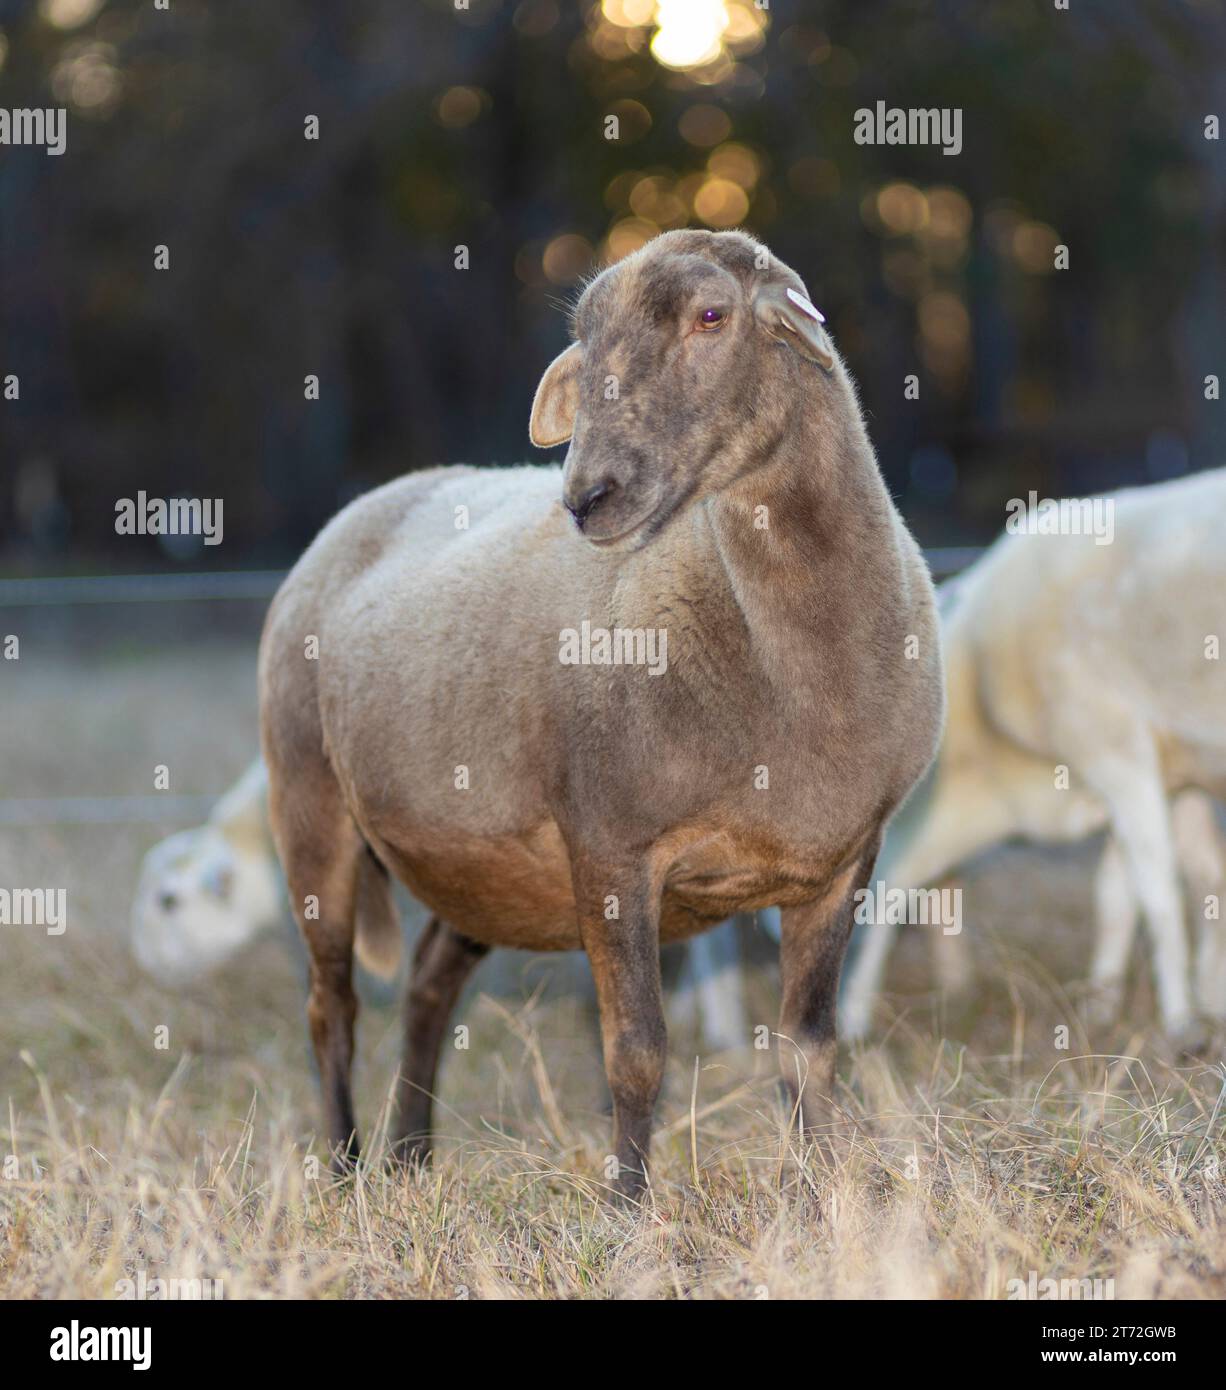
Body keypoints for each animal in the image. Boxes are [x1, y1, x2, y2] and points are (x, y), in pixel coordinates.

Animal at [258, 228, 945, 1196]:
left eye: (712, 315)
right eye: (583, 342)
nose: (586, 496)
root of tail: (364, 506)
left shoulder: (843, 863)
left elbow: (808, 1050)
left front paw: (821, 1194)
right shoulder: (611, 847)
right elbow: (637, 1053)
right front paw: (627, 1204)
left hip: (483, 865)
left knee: (427, 984)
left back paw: (411, 1160)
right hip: (309, 804)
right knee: (333, 1008)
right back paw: (349, 1168)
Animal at [838, 469, 1226, 1049]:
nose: (842, 1025)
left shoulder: (1115, 752)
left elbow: (1159, 893)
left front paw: (1180, 1022)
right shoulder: (1164, 774)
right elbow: (1132, 893)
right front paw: (1105, 1006)